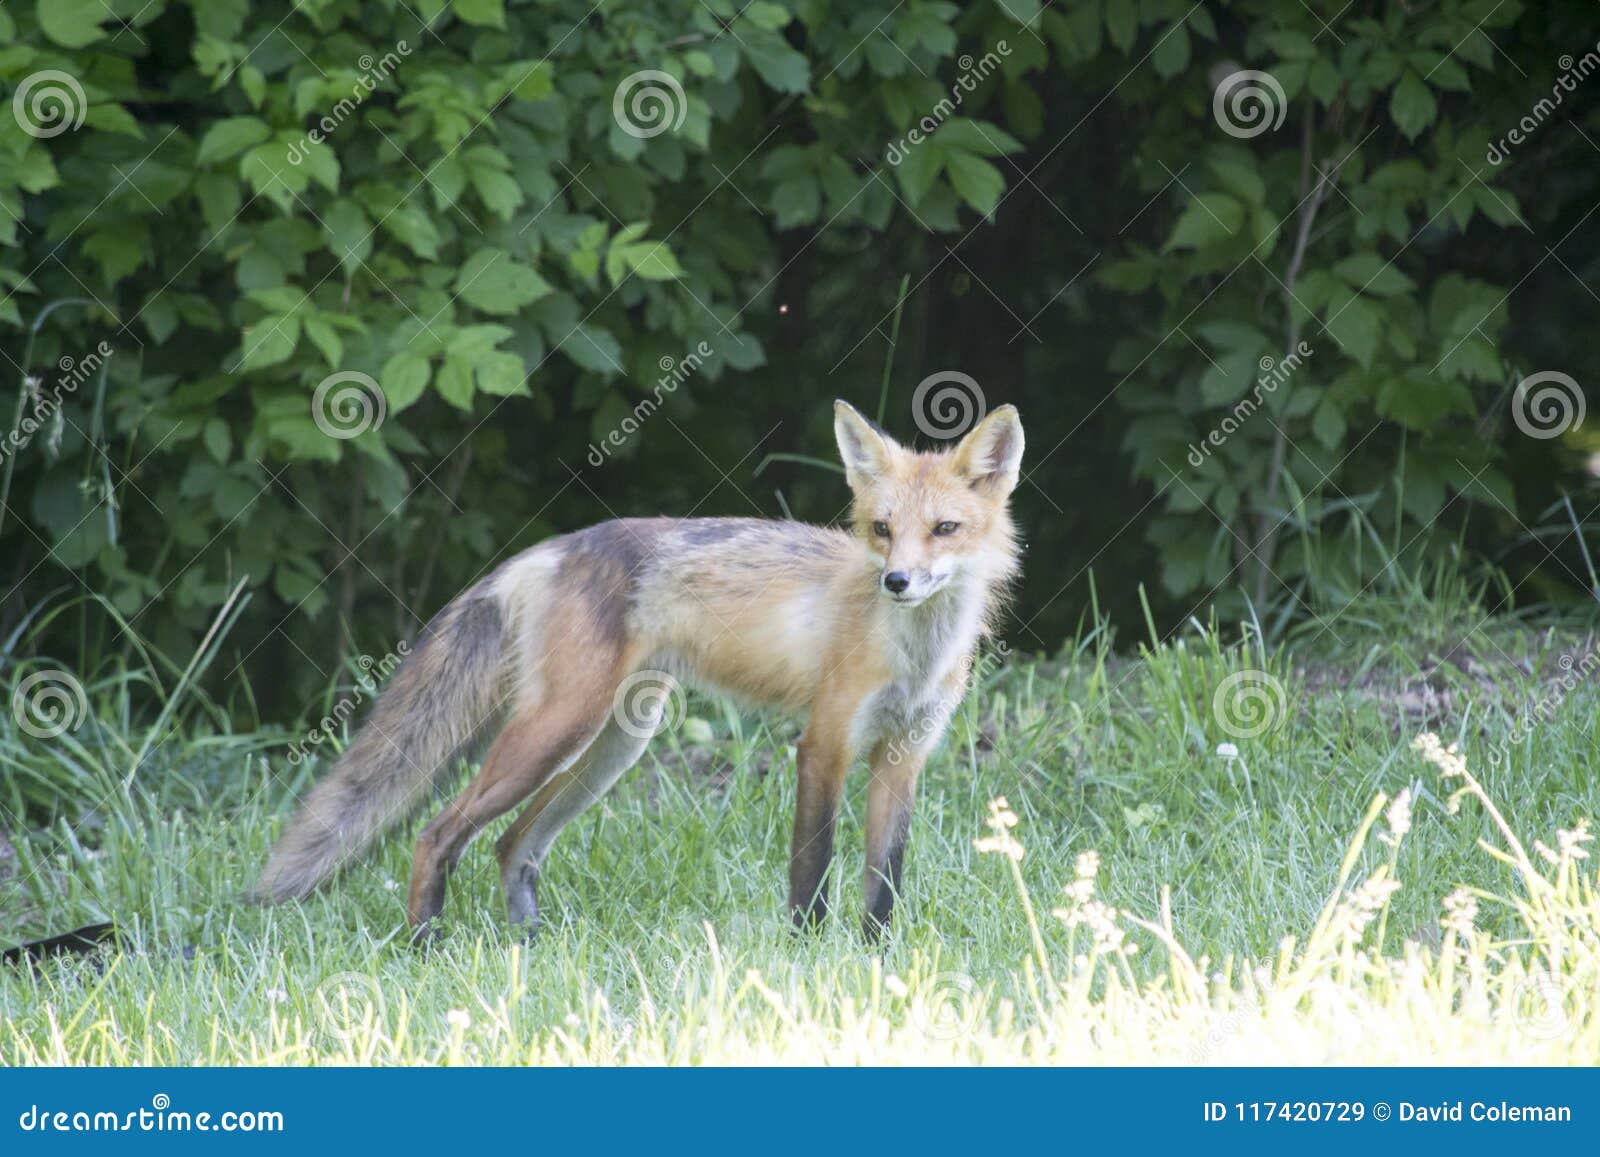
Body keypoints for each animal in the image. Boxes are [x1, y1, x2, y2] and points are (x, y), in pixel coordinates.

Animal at [253, 399, 1024, 941]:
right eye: (881, 529)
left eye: (945, 530)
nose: (897, 580)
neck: (914, 653)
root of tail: (554, 546)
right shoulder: (824, 744)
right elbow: (811, 873)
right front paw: (807, 960)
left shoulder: (904, 753)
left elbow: (882, 886)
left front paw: (875, 966)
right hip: (556, 732)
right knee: (437, 834)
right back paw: (425, 948)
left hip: (613, 746)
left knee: (511, 844)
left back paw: (527, 950)